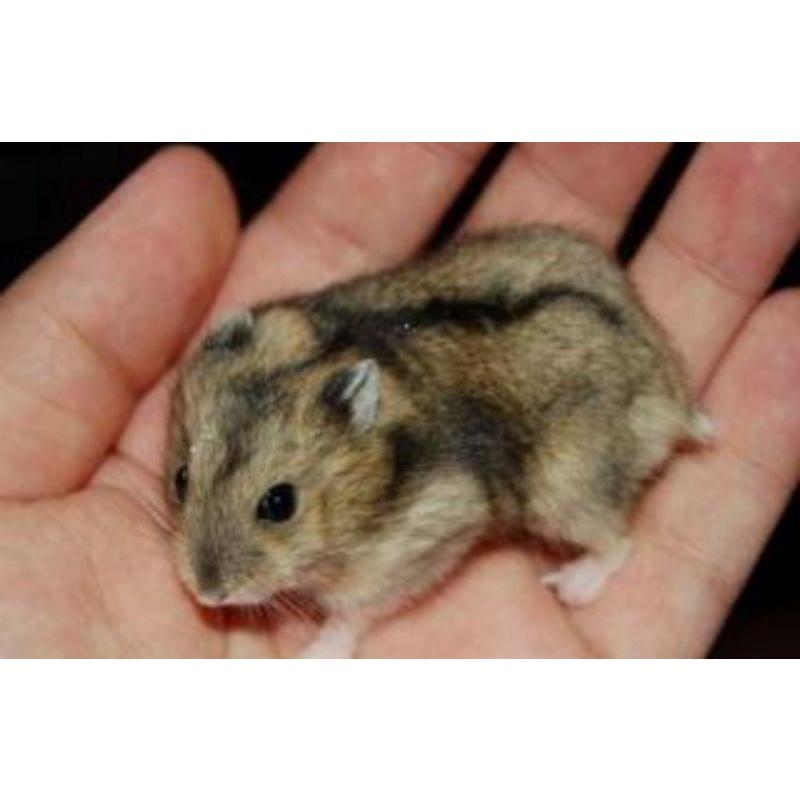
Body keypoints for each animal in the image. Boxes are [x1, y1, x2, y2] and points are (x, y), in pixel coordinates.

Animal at [165, 226, 712, 658]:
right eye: (180, 479)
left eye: (280, 504)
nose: (207, 595)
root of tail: (675, 398)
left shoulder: (423, 539)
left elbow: (354, 613)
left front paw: (314, 655)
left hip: (566, 489)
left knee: (618, 540)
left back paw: (568, 586)